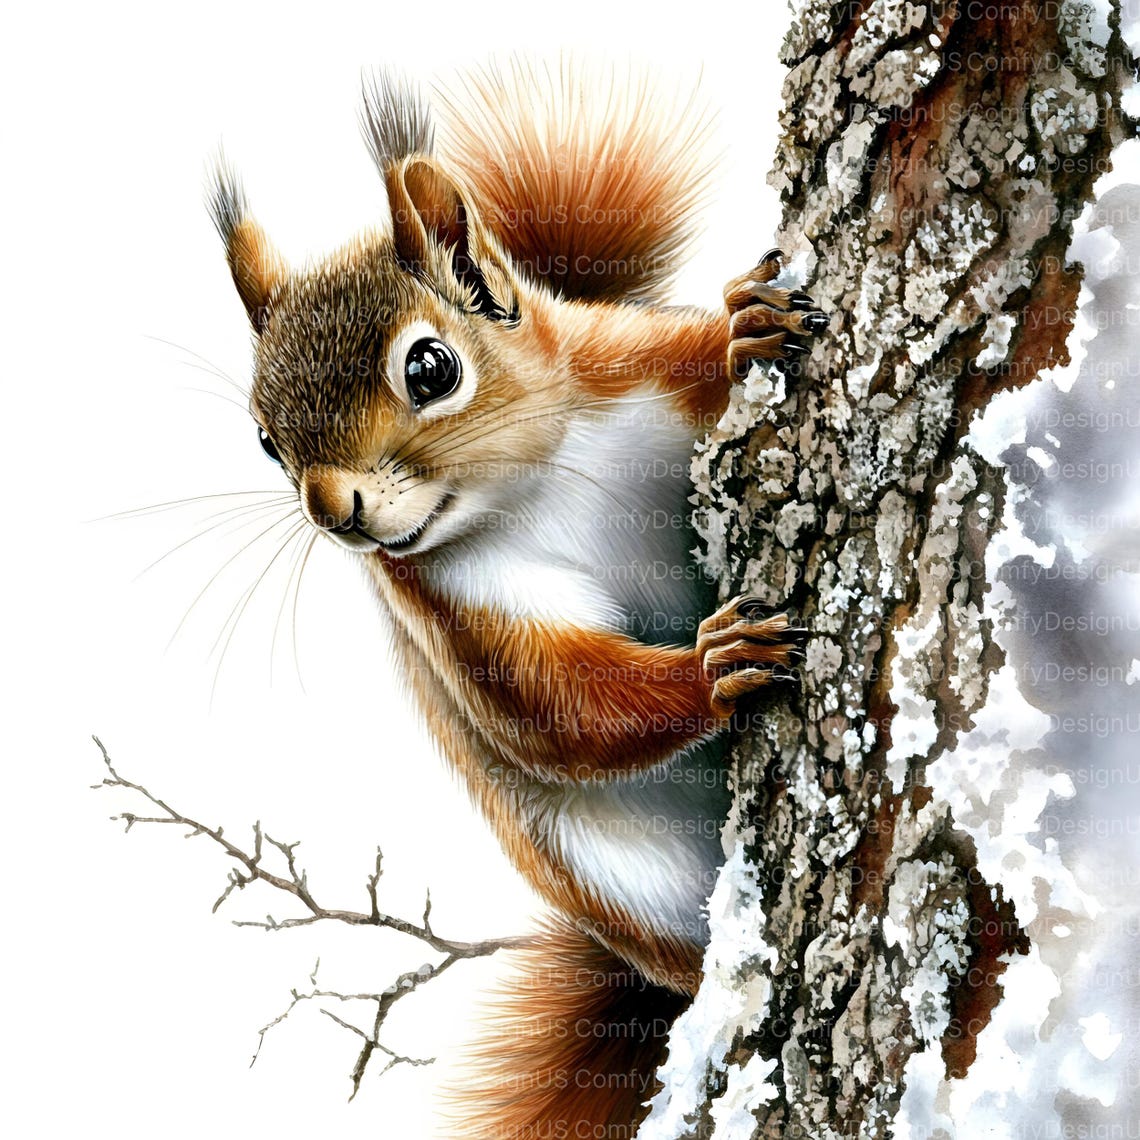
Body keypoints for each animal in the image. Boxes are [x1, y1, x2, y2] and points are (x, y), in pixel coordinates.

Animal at [209, 63, 825, 1140]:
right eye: (265, 439)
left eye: (430, 366)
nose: (335, 512)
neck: (536, 480)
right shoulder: (455, 610)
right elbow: (554, 706)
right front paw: (717, 669)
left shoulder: (628, 363)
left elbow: (700, 354)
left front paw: (747, 325)